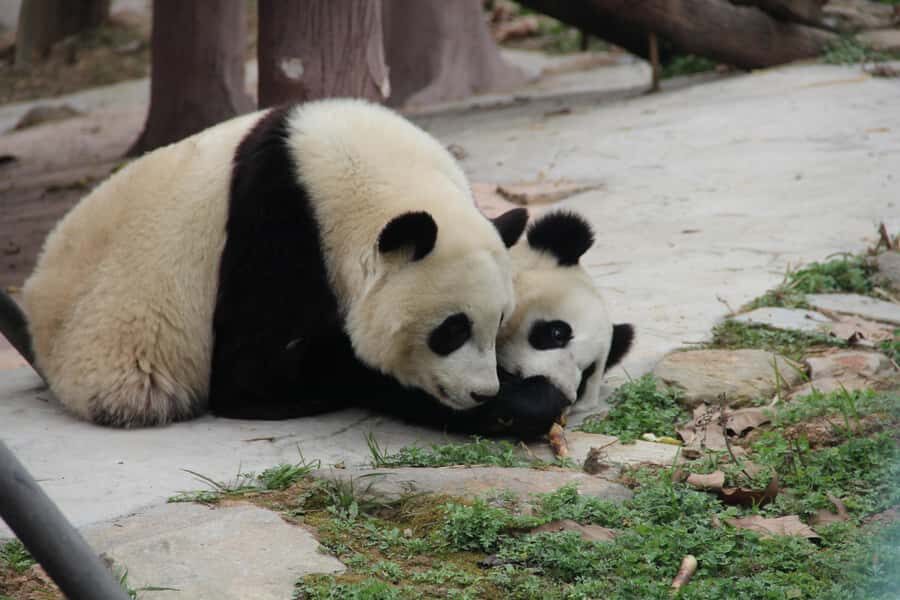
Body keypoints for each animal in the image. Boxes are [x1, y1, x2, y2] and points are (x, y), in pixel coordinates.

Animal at [17, 99, 529, 427]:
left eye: (499, 322)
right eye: (452, 329)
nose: (481, 392)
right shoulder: (275, 225)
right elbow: (259, 376)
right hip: (112, 352)